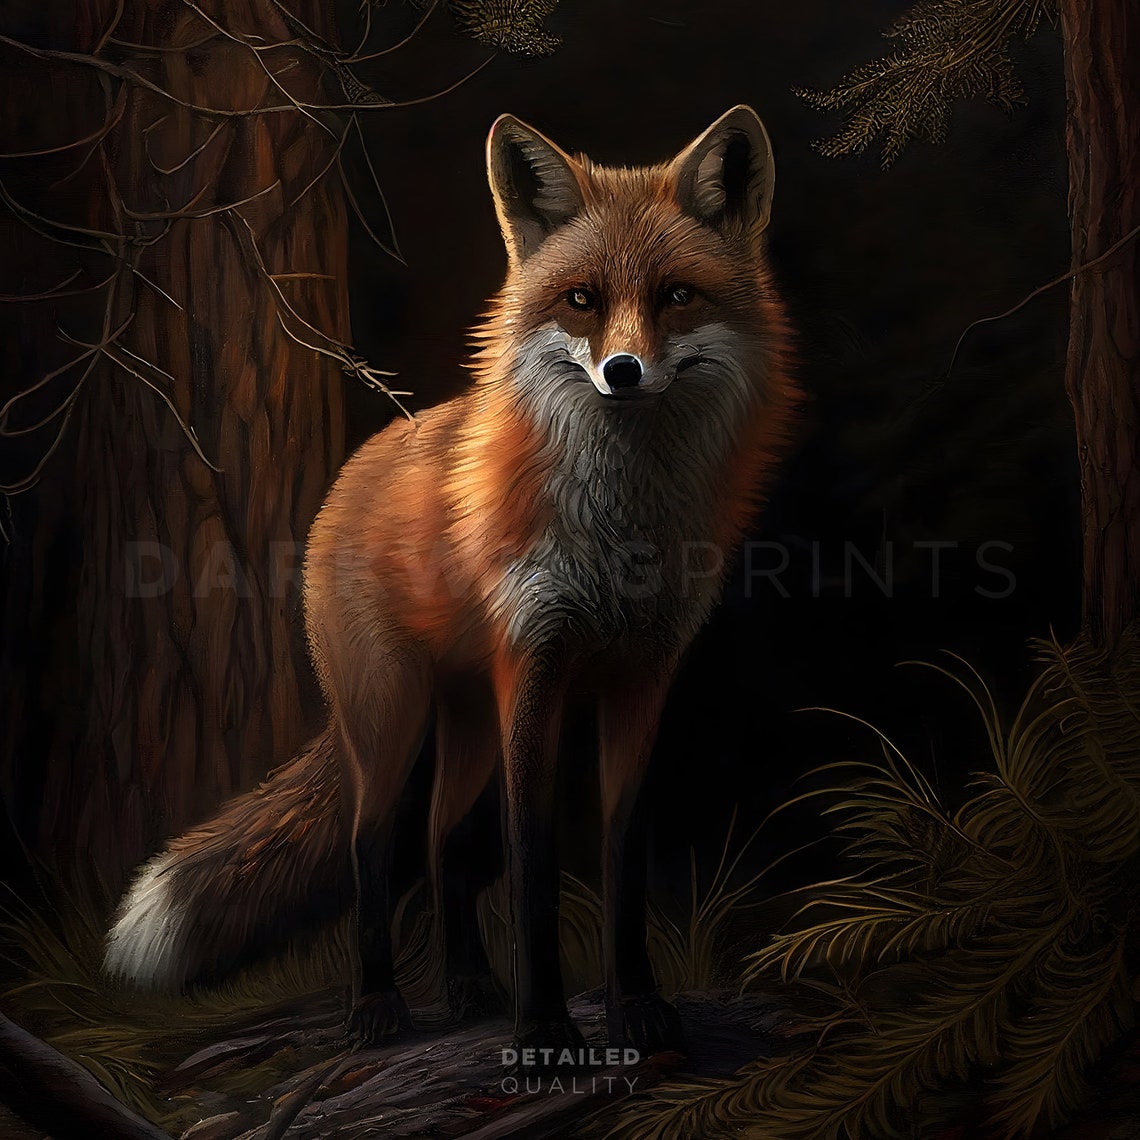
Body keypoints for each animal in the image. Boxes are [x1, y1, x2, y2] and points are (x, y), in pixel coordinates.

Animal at [104, 105, 798, 1057]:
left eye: (676, 296)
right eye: (581, 299)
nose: (621, 371)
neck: (622, 537)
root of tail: (362, 461)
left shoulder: (640, 679)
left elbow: (617, 859)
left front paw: (639, 1010)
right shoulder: (533, 671)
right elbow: (533, 865)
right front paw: (543, 1030)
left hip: (464, 716)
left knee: (441, 845)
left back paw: (469, 986)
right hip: (391, 715)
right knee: (373, 846)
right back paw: (376, 1007)